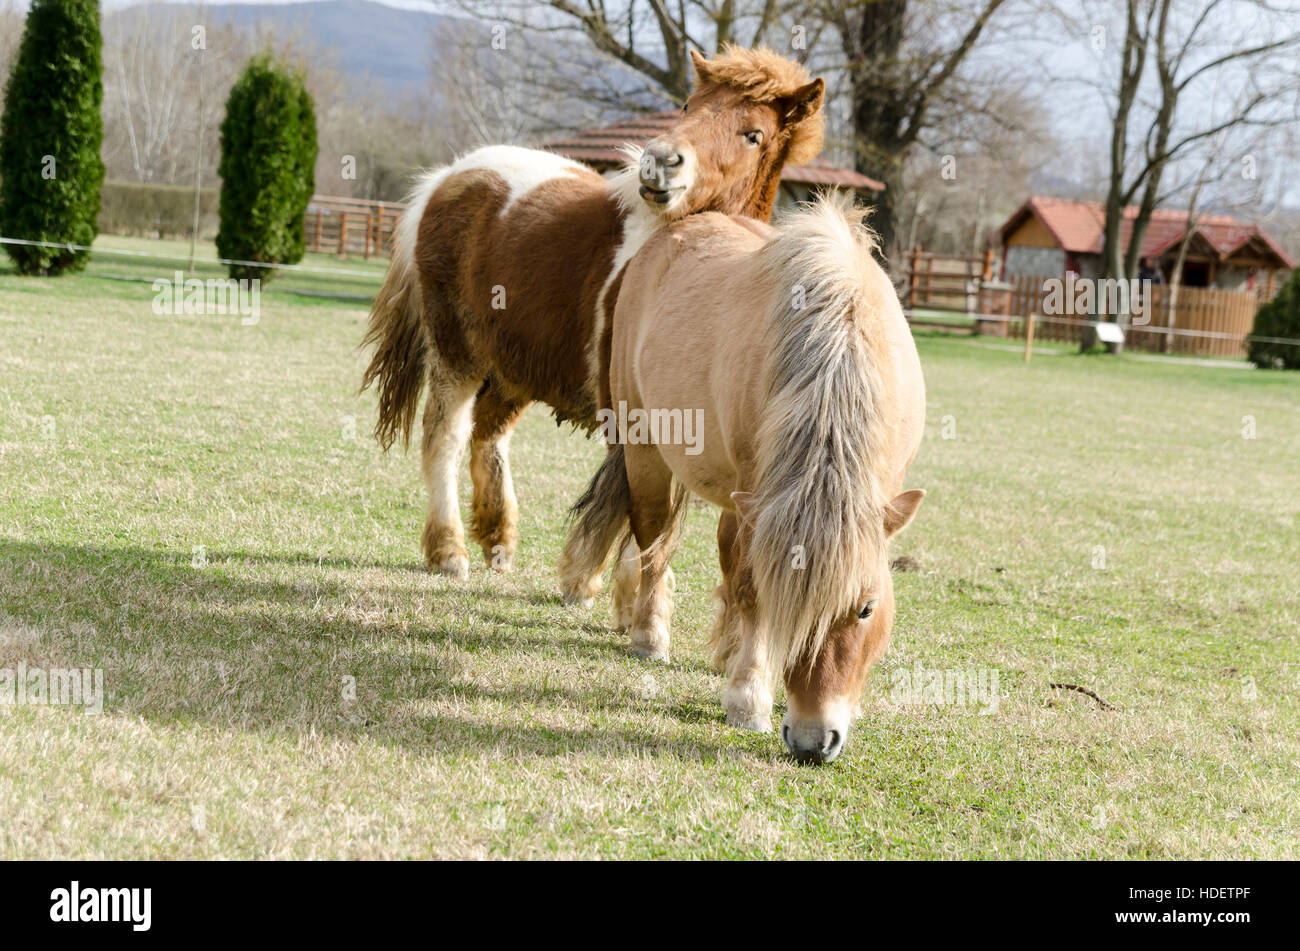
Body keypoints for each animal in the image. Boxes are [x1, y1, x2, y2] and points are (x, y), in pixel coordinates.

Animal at [360, 46, 825, 580]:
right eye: (688, 106)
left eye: (754, 134)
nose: (660, 162)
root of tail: (447, 178)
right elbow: (641, 510)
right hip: (457, 357)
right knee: (445, 437)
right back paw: (448, 550)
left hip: (514, 369)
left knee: (488, 435)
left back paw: (497, 541)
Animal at [561, 195, 926, 763]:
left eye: (866, 609)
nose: (812, 742)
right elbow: (751, 589)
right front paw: (749, 696)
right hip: (646, 450)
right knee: (653, 542)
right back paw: (649, 633)